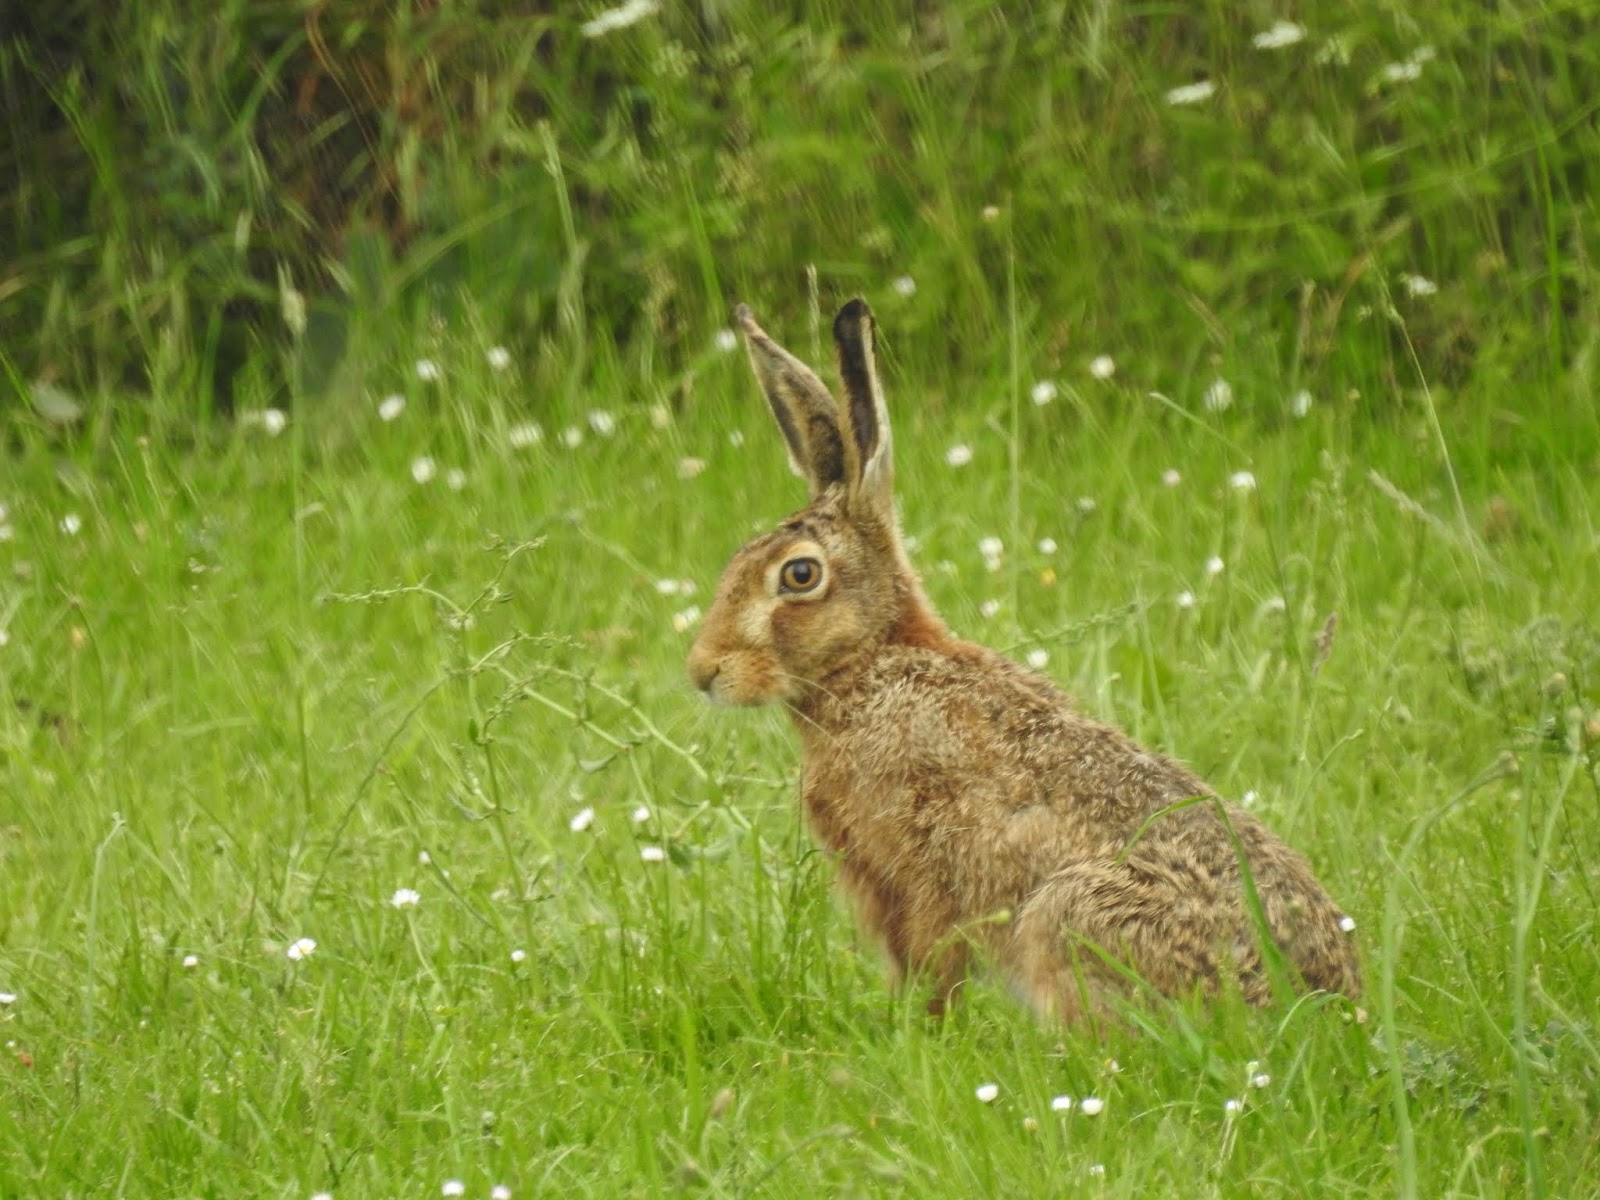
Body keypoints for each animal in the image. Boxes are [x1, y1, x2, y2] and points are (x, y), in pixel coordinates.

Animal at [686, 299, 1361, 1022]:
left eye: (800, 575)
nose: (703, 671)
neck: (872, 661)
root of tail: (1324, 1010)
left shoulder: (916, 872)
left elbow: (931, 963)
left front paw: (916, 1031)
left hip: (1066, 916)